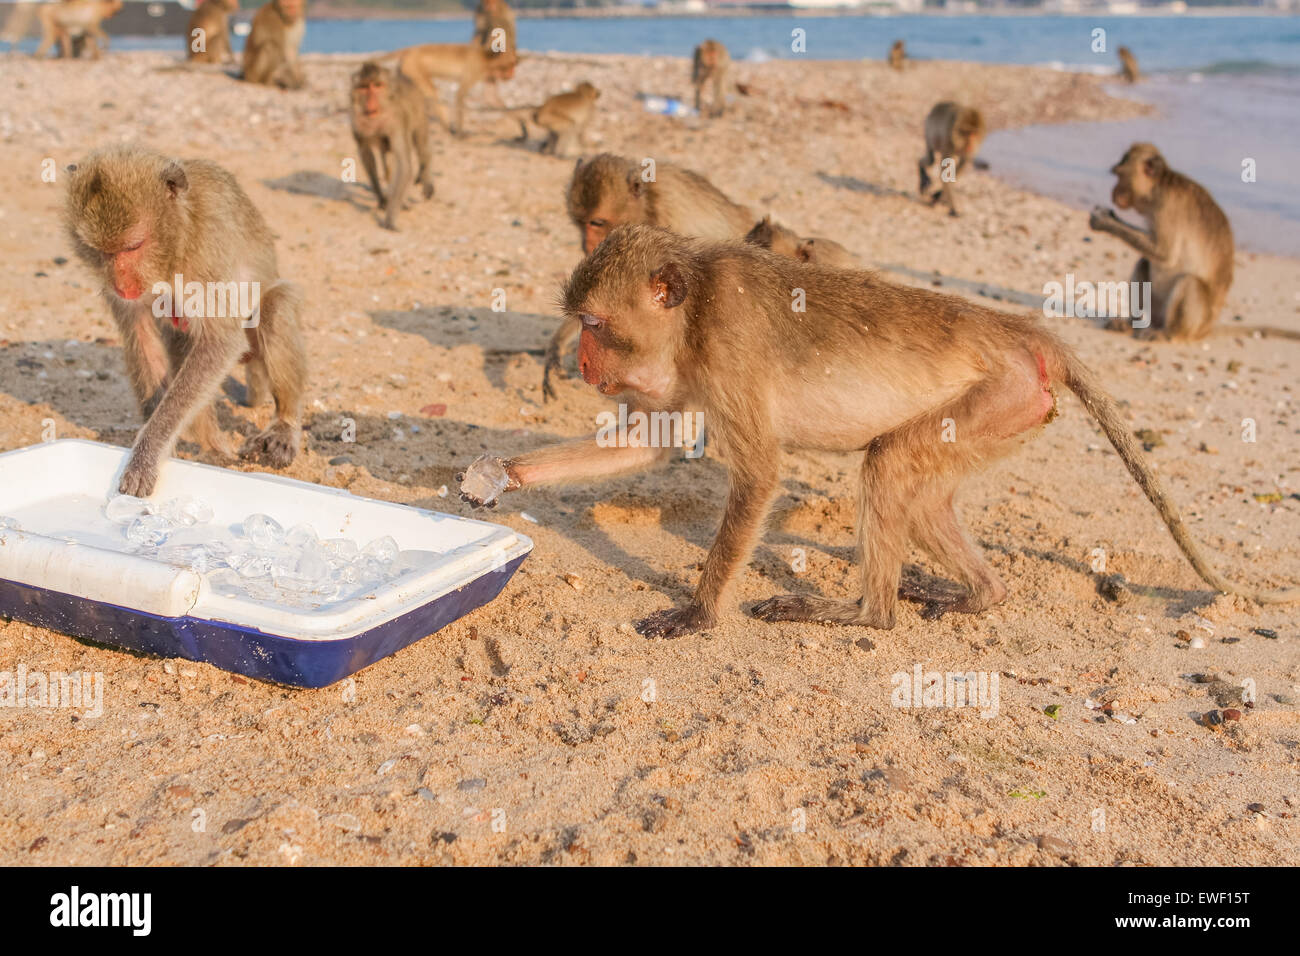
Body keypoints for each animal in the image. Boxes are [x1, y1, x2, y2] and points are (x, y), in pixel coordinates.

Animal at [63, 146, 308, 498]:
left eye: (133, 246)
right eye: (102, 252)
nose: (121, 285)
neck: (171, 251)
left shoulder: (205, 250)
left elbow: (221, 342)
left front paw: (147, 454)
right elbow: (143, 338)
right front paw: (161, 448)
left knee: (273, 310)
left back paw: (284, 426)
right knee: (180, 341)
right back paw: (210, 447)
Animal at [350, 61, 435, 231]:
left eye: (377, 86)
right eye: (363, 87)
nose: (370, 103)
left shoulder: (396, 121)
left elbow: (404, 165)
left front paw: (390, 218)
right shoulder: (356, 122)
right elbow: (367, 155)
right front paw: (383, 199)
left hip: (420, 109)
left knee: (421, 145)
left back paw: (425, 176)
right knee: (387, 161)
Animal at [384, 43, 517, 136]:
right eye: (510, 65)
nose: (512, 74)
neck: (485, 58)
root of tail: (409, 51)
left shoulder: (488, 76)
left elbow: (492, 99)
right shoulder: (475, 70)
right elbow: (460, 94)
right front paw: (459, 132)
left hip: (405, 72)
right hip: (413, 69)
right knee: (431, 93)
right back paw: (446, 127)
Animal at [458, 224, 1299, 638]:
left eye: (596, 325)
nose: (583, 361)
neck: (690, 316)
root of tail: (1024, 332)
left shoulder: (726, 349)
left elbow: (759, 477)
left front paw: (700, 612)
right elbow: (644, 445)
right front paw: (502, 474)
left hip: (1001, 396)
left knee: (889, 466)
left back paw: (869, 613)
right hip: (1014, 413)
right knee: (920, 492)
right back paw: (978, 593)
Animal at [1088, 142, 1234, 342]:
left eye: (1119, 175)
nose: (1113, 192)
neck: (1160, 185)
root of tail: (1207, 329)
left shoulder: (1167, 205)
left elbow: (1164, 254)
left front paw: (1104, 222)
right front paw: (1110, 216)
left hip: (1194, 324)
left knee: (1189, 281)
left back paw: (1168, 333)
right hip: (1156, 310)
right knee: (1143, 262)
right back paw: (1130, 322)